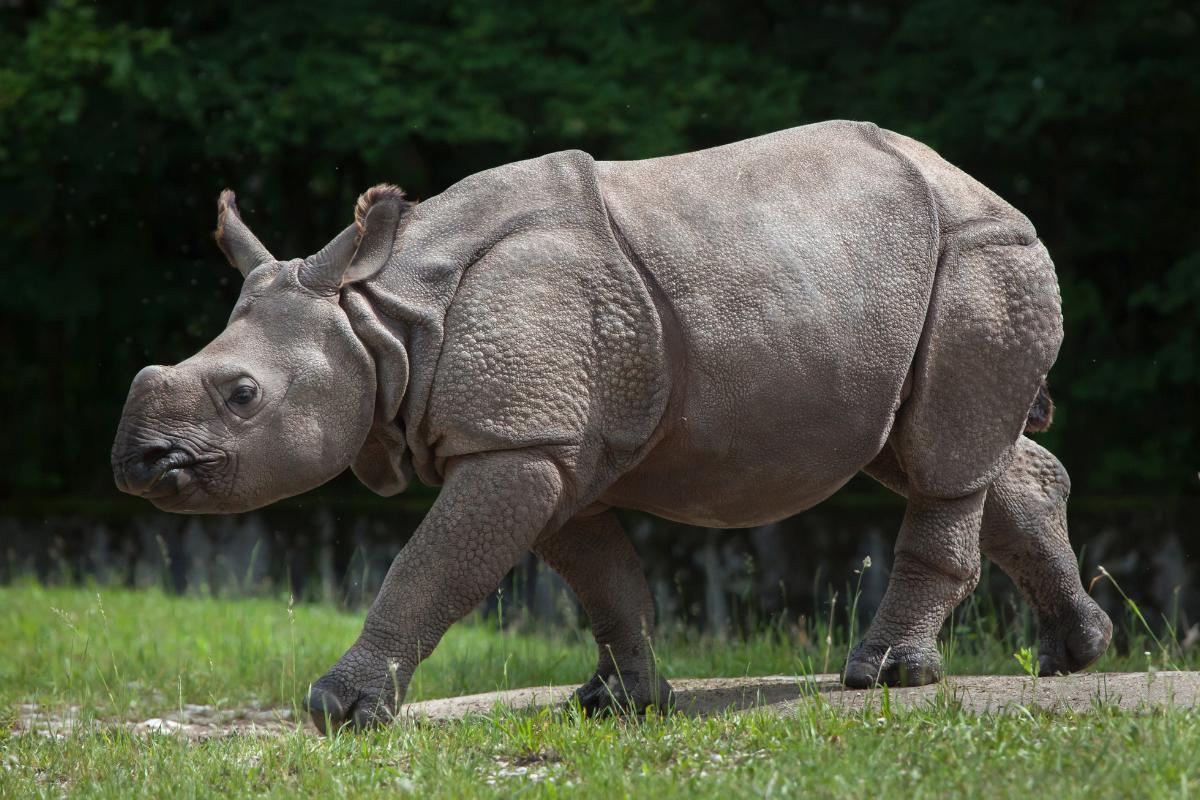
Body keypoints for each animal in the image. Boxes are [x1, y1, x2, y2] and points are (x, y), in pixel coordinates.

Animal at [112, 120, 1113, 732]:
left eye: (242, 395)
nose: (137, 465)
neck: (379, 318)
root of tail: (986, 188)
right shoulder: (553, 444)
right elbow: (605, 580)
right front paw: (621, 702)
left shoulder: (518, 440)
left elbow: (428, 565)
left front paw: (337, 712)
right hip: (908, 277)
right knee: (939, 448)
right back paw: (1076, 654)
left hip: (982, 252)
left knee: (942, 456)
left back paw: (886, 678)